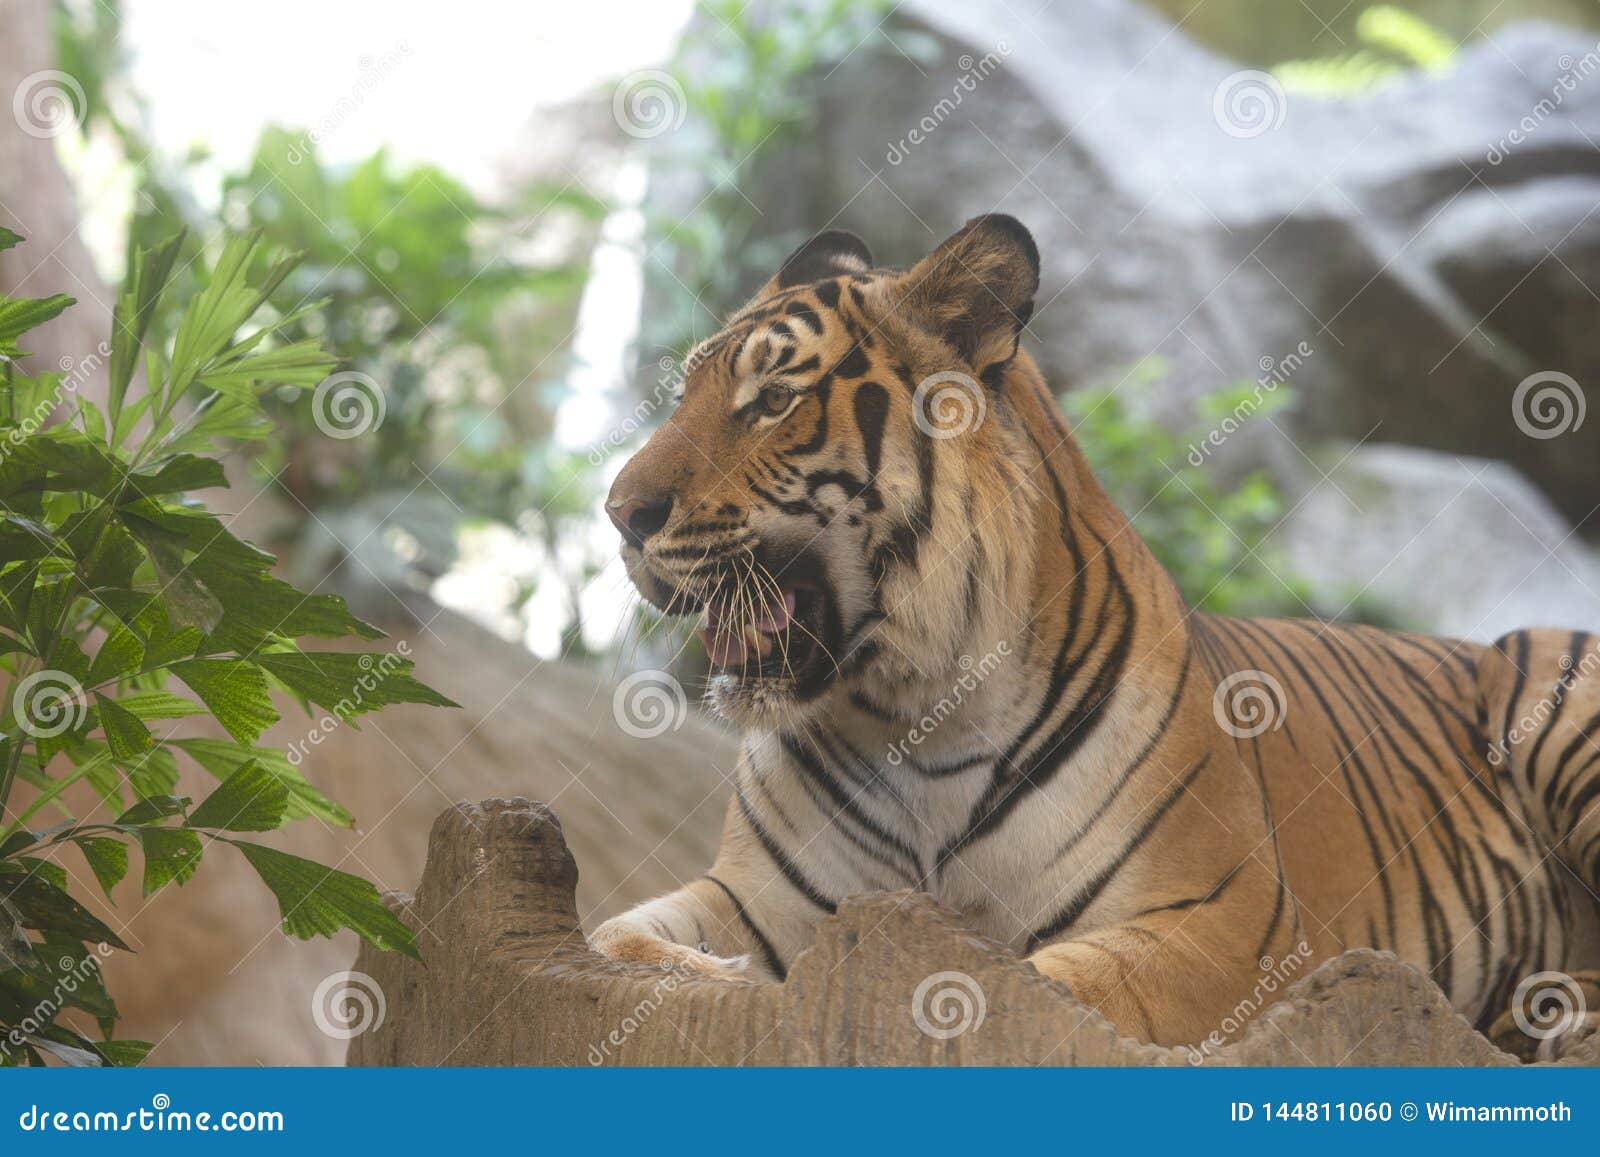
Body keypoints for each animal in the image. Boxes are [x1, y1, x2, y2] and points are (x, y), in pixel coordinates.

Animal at [590, 214, 1600, 1055]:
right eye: (685, 391)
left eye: (771, 399)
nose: (618, 514)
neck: (904, 716)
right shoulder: (755, 899)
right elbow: (616, 935)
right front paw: (715, 977)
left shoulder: (1224, 920)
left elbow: (1031, 989)